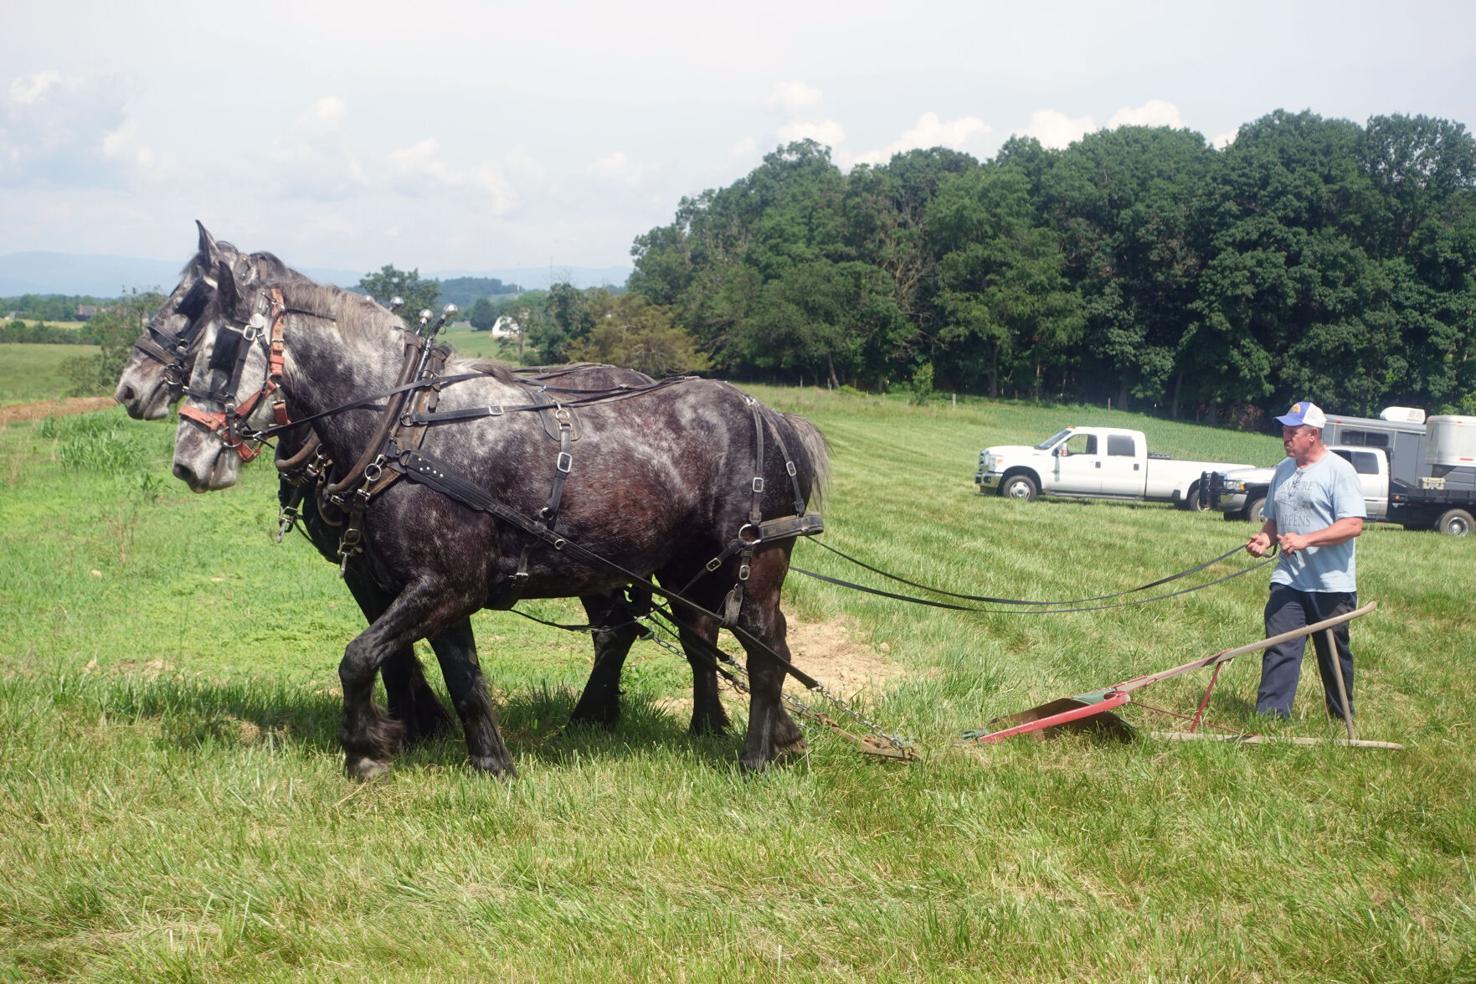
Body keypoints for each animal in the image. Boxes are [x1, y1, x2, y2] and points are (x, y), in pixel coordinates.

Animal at [172, 263, 827, 777]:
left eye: (221, 353)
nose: (187, 461)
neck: (402, 429)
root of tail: (771, 415)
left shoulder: (443, 585)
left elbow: (358, 656)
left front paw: (365, 751)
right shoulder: (434, 589)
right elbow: (463, 678)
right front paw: (491, 763)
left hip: (753, 561)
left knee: (764, 649)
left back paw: (754, 758)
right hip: (688, 570)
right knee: (703, 635)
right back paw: (730, 731)